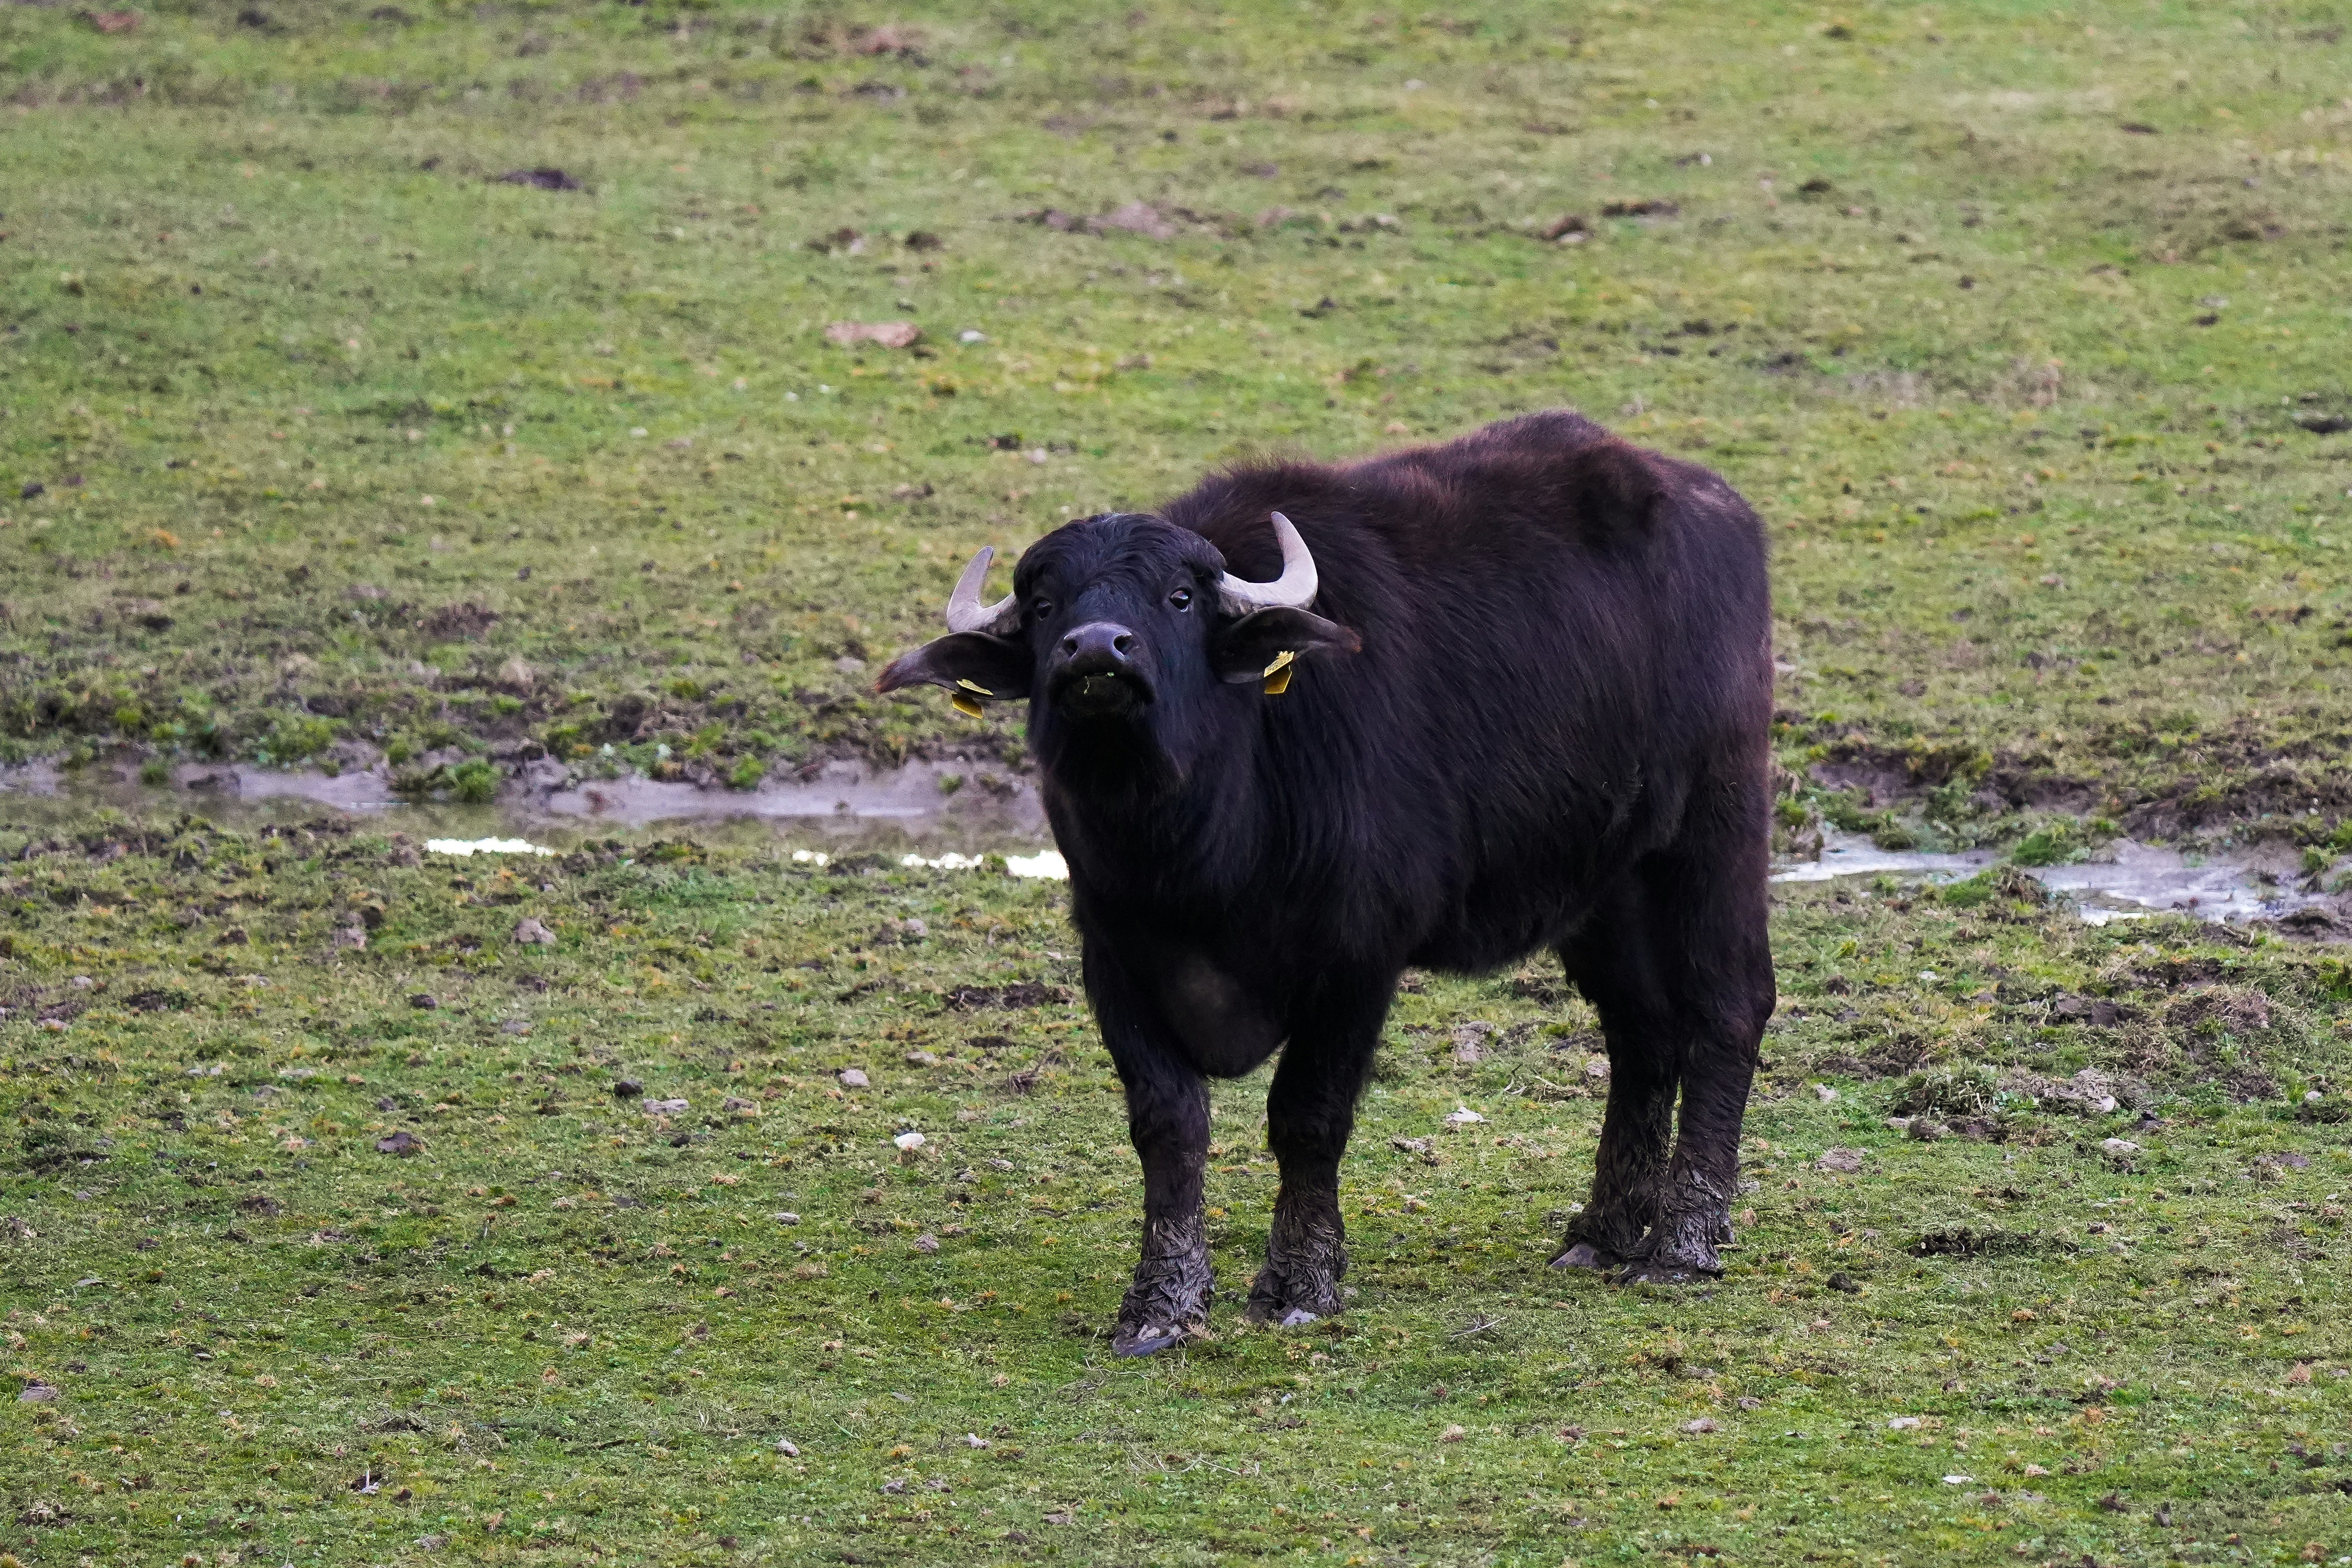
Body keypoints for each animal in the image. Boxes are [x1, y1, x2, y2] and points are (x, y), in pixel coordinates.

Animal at [879, 410, 1775, 1356]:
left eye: (1178, 597)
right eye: (1047, 603)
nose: (1096, 652)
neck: (1192, 850)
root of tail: (1712, 507)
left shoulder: (1355, 958)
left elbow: (1306, 1115)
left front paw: (1299, 1282)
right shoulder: (1113, 956)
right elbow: (1167, 1122)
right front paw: (1161, 1301)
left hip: (1714, 822)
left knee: (1727, 1007)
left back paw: (1680, 1242)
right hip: (1605, 880)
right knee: (1641, 1031)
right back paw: (1603, 1233)